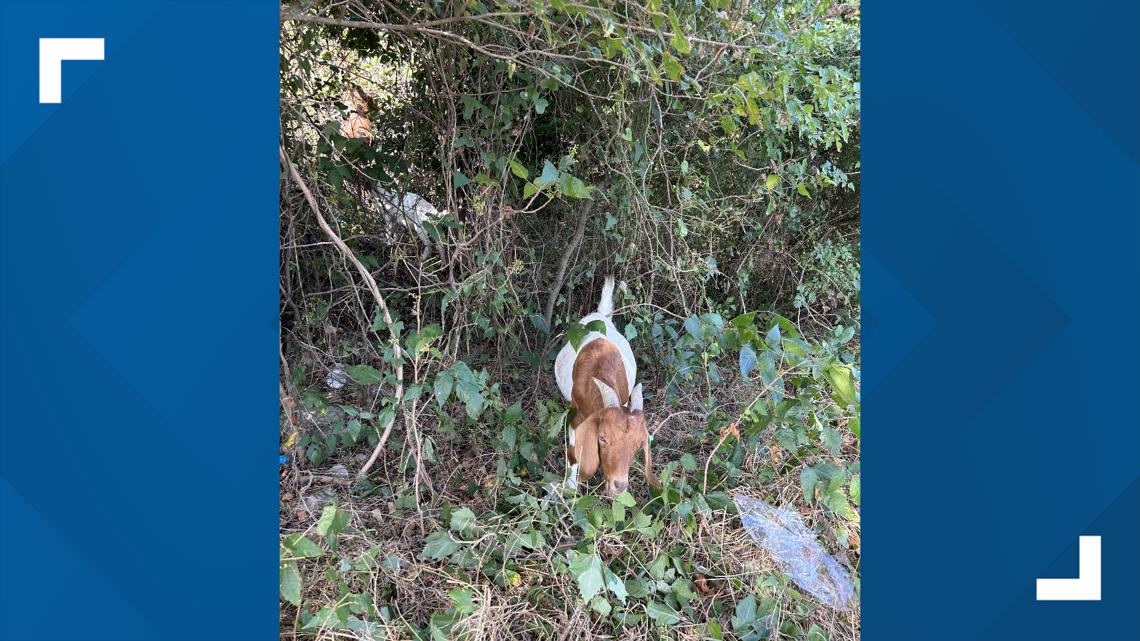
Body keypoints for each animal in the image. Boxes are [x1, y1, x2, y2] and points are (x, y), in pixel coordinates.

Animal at [555, 277, 659, 496]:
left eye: (637, 445)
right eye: (602, 438)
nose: (620, 485)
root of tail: (601, 315)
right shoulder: (577, 417)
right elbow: (574, 454)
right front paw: (570, 489)